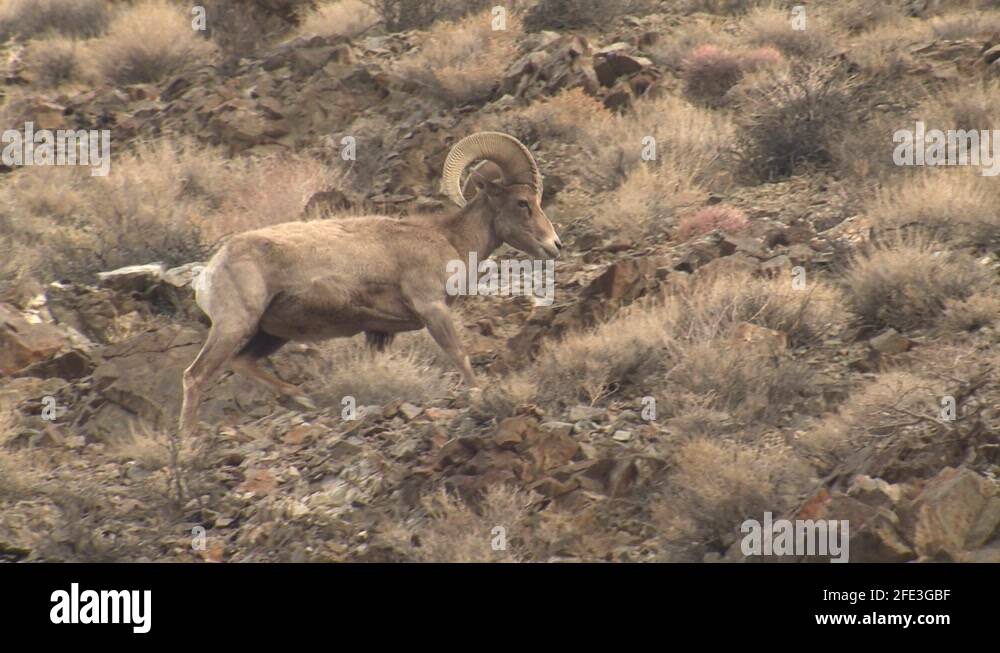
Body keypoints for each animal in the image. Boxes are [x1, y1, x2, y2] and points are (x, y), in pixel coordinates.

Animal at [178, 132, 562, 437]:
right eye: (523, 203)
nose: (555, 245)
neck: (449, 240)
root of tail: (210, 271)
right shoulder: (432, 309)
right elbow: (460, 355)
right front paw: (477, 395)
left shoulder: (379, 332)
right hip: (235, 325)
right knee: (195, 376)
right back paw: (189, 442)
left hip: (270, 334)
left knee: (242, 362)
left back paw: (301, 398)